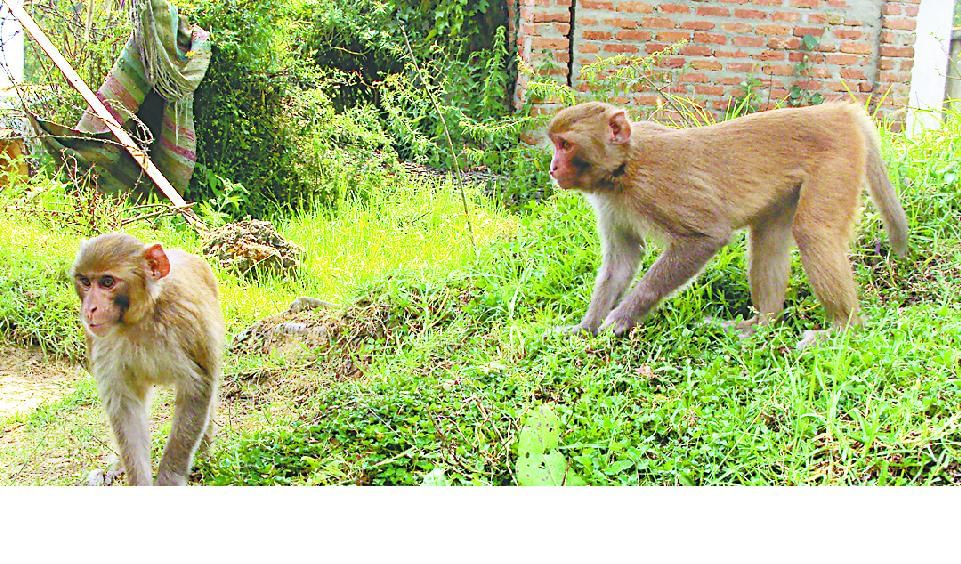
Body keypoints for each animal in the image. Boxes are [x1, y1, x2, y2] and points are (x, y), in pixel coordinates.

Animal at [72, 232, 224, 485]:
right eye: (85, 281)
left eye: (107, 282)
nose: (90, 308)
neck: (140, 319)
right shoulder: (100, 342)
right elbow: (124, 407)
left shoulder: (187, 324)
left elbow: (196, 390)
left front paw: (169, 479)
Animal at [548, 101, 908, 348]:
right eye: (555, 144)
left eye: (565, 145)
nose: (552, 167)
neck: (624, 168)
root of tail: (839, 111)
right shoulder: (611, 203)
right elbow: (623, 259)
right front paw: (586, 327)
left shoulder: (658, 188)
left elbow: (706, 236)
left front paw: (622, 318)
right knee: (768, 238)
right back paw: (761, 324)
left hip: (838, 159)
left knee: (813, 231)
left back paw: (844, 328)